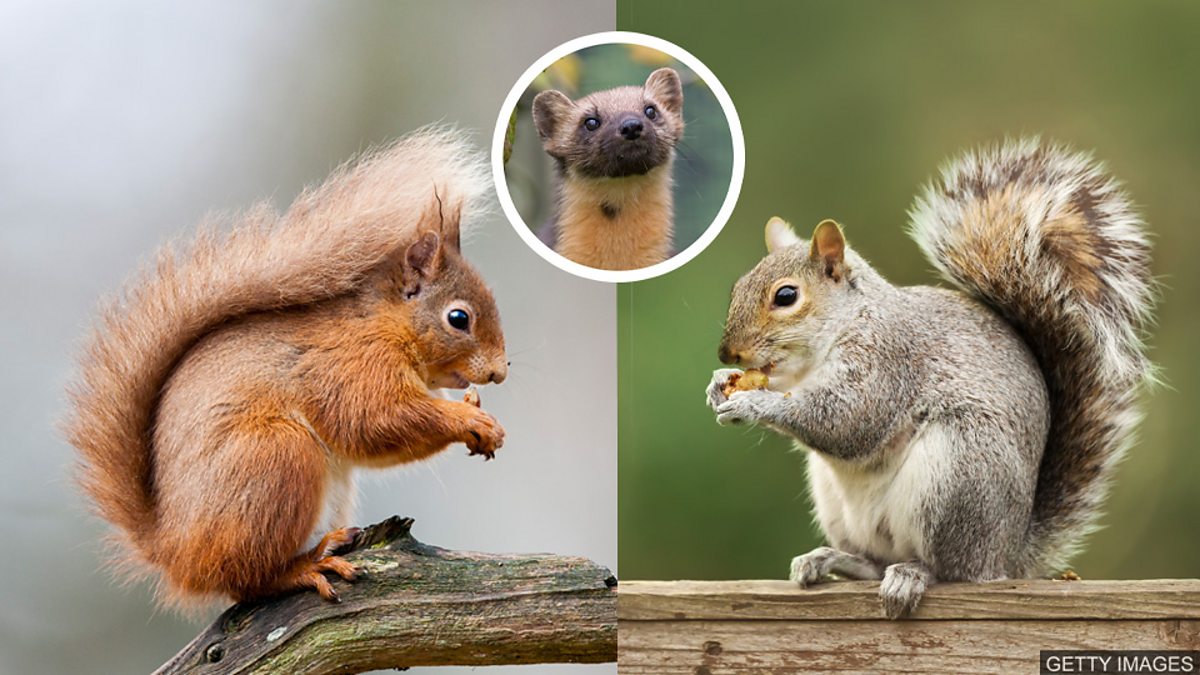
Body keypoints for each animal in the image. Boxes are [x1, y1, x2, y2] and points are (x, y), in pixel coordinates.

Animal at [64, 127, 509, 608]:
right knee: (248, 578)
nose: (500, 371)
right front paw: (469, 419)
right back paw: (307, 566)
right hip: (277, 458)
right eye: (458, 318)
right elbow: (375, 419)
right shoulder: (351, 366)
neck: (383, 325)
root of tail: (173, 550)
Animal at [706, 139, 1154, 619]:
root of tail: (1008, 553)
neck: (835, 335)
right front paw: (721, 383)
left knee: (948, 568)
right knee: (873, 562)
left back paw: (912, 575)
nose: (728, 353)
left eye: (786, 296)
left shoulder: (887, 362)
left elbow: (847, 421)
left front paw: (754, 404)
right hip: (840, 502)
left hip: (958, 473)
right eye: (737, 288)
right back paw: (831, 559)